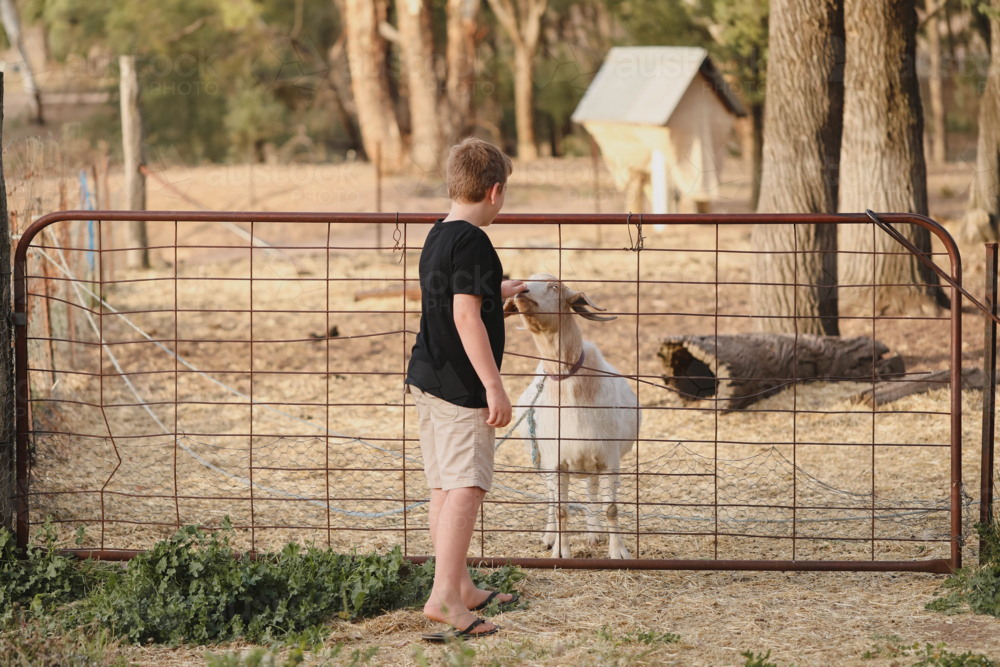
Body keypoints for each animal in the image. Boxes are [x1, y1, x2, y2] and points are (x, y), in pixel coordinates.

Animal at [503, 273, 640, 559]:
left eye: (555, 287)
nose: (521, 291)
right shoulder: (556, 462)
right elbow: (561, 509)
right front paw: (560, 551)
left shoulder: (609, 459)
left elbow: (611, 508)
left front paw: (618, 552)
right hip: (541, 456)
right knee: (551, 498)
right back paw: (549, 537)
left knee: (591, 491)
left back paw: (595, 532)